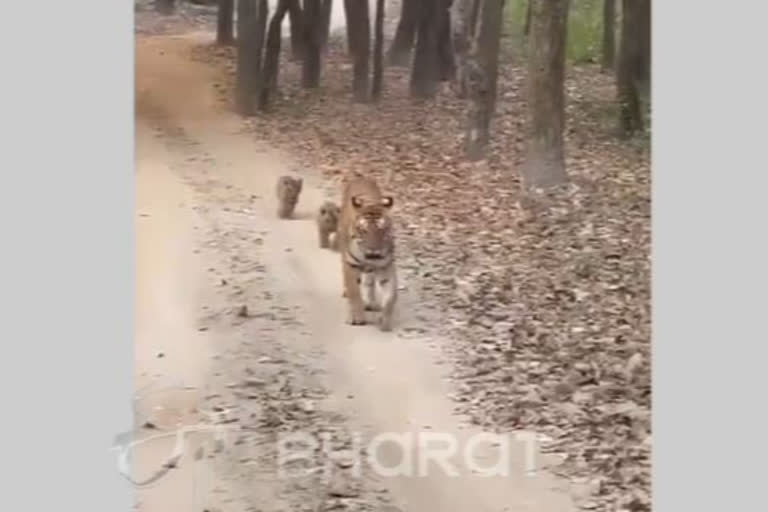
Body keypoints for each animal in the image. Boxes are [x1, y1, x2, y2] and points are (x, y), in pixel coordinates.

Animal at [337, 176, 397, 332]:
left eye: (382, 230)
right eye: (364, 231)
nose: (374, 251)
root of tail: (361, 178)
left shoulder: (386, 266)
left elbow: (391, 296)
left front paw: (385, 320)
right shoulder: (350, 265)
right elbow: (354, 293)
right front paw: (357, 317)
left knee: (368, 282)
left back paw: (370, 302)